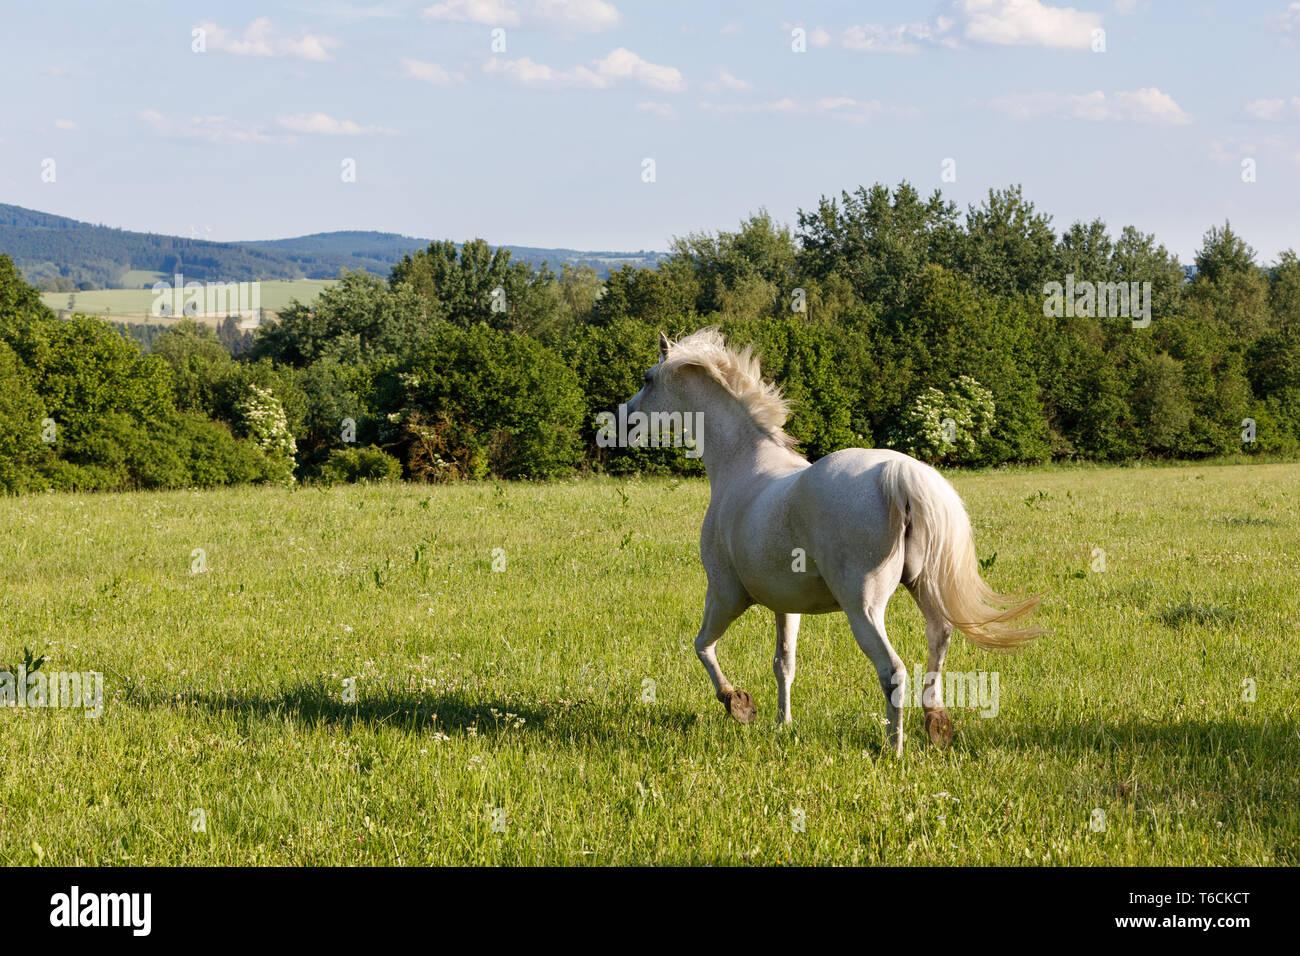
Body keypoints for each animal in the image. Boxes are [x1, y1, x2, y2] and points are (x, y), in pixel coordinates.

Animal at [624, 328, 1042, 756]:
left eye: (647, 379)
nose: (625, 418)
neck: (741, 465)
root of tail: (897, 473)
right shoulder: (785, 605)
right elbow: (784, 664)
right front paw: (783, 723)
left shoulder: (725, 595)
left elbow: (703, 646)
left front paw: (738, 704)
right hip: (922, 587)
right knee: (939, 638)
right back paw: (936, 723)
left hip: (863, 608)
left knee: (893, 670)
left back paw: (893, 748)